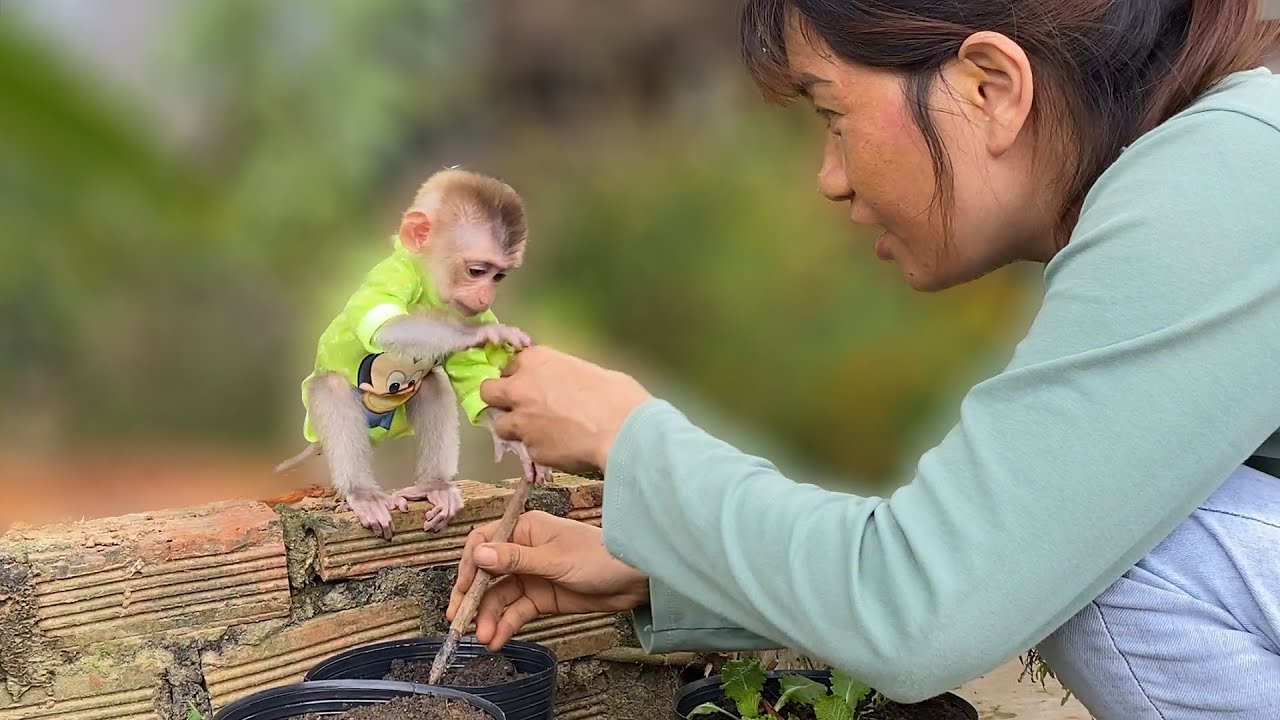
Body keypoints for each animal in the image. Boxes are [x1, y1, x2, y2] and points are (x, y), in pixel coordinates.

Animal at [276, 167, 551, 540]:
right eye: (477, 271)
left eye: (499, 276)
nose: (485, 298)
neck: (432, 293)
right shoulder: (396, 274)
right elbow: (384, 327)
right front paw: (479, 335)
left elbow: (470, 379)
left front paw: (512, 437)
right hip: (317, 420)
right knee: (332, 388)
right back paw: (362, 493)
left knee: (433, 385)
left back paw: (434, 485)